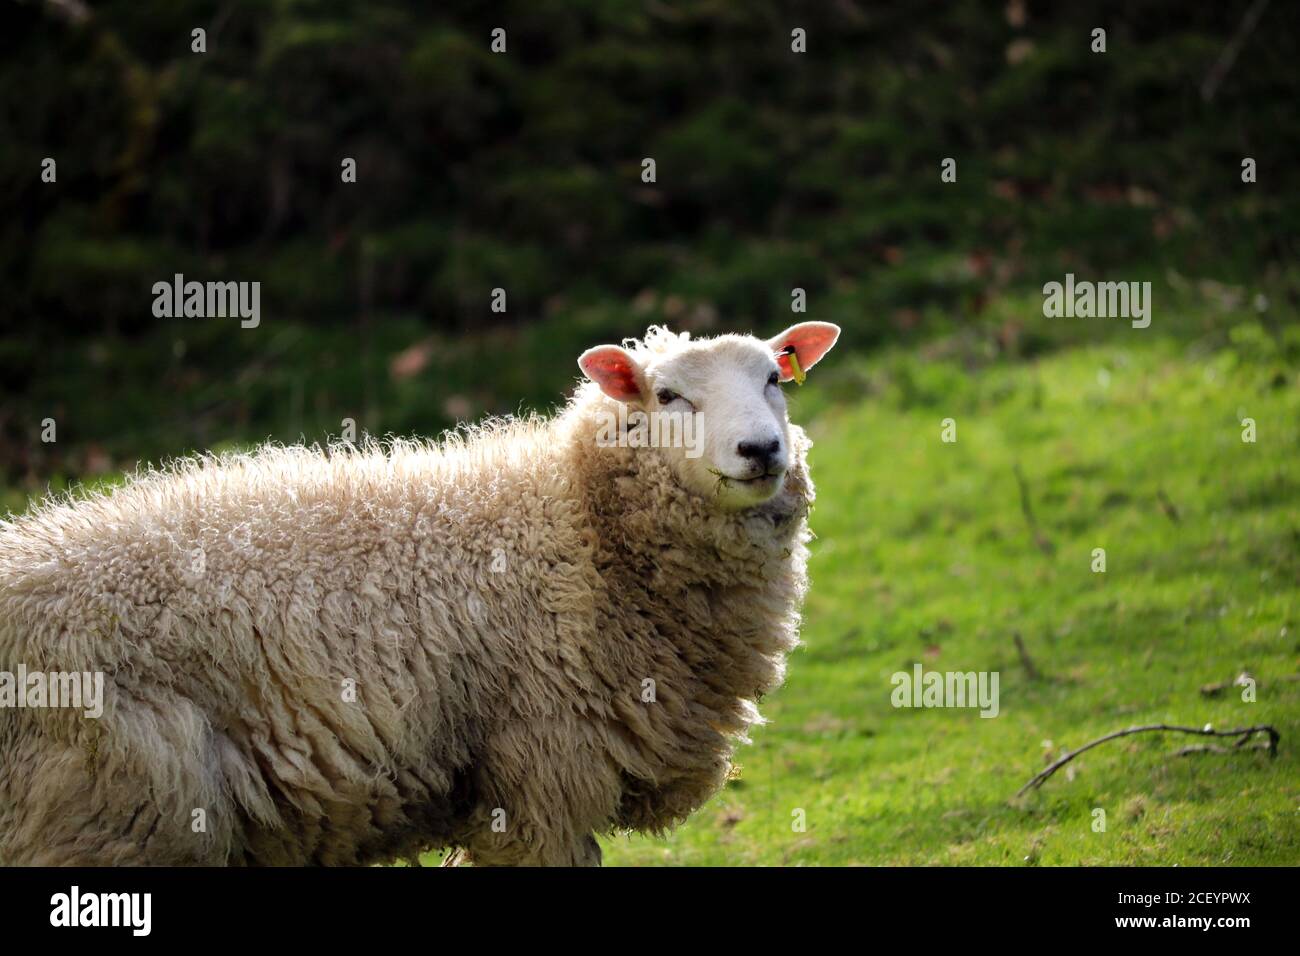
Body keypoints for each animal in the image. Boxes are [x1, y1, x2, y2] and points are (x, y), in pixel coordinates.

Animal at [0, 321, 840, 866]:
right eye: (668, 395)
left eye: (775, 377)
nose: (761, 449)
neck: (579, 523)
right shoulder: (540, 778)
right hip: (106, 811)